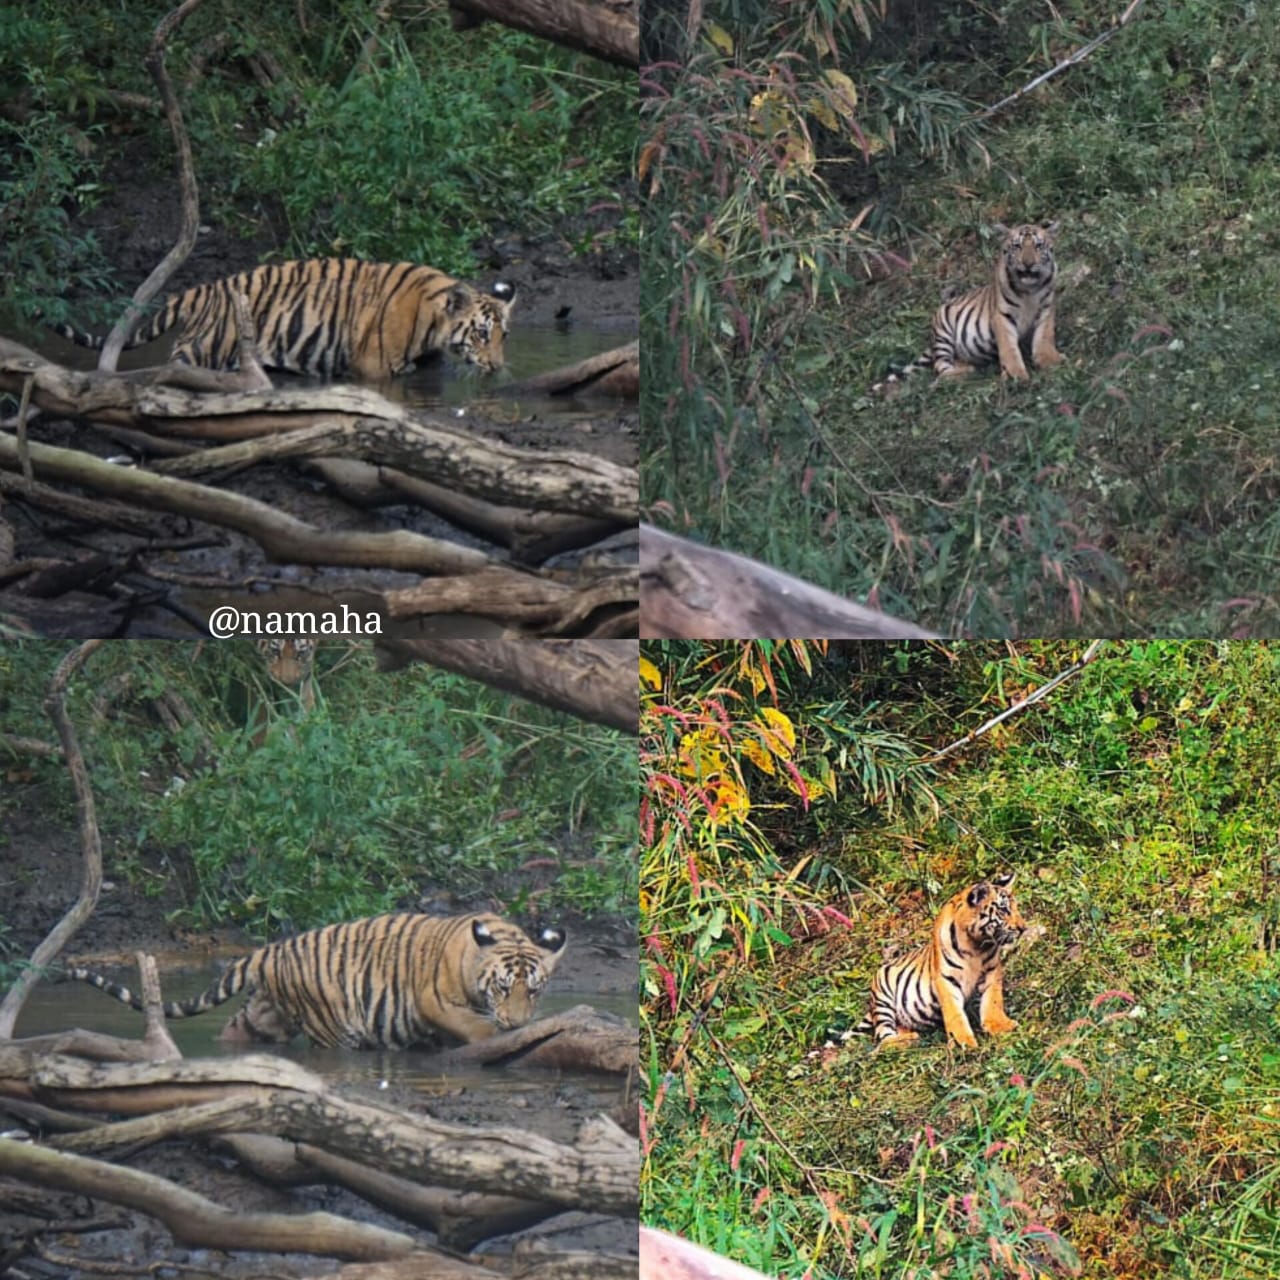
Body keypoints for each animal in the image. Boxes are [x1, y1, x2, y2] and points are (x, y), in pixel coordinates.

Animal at [49, 258, 517, 379]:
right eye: (481, 334)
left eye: (503, 337)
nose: (498, 367)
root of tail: (205, 288)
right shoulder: (373, 368)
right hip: (204, 346)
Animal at [66, 911, 566, 1049]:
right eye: (502, 987)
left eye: (534, 990)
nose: (518, 1023)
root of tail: (269, 950)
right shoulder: (434, 1000)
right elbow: (473, 1025)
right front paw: (495, 1035)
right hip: (333, 1022)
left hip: (261, 1015)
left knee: (236, 1033)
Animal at [856, 872, 1026, 1050]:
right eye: (1003, 910)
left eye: (1016, 907)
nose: (1023, 928)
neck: (977, 946)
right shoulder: (946, 980)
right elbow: (954, 1014)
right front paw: (963, 1042)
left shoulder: (992, 971)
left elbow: (994, 1001)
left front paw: (1001, 1025)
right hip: (883, 999)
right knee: (882, 1039)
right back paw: (910, 1039)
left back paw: (912, 1036)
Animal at [872, 223, 1063, 392]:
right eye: (1017, 246)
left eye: (1038, 246)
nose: (1028, 263)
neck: (1029, 290)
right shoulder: (1002, 316)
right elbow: (1009, 349)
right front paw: (1015, 376)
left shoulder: (1046, 310)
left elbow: (1044, 338)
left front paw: (1051, 361)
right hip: (943, 332)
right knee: (940, 369)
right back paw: (967, 373)